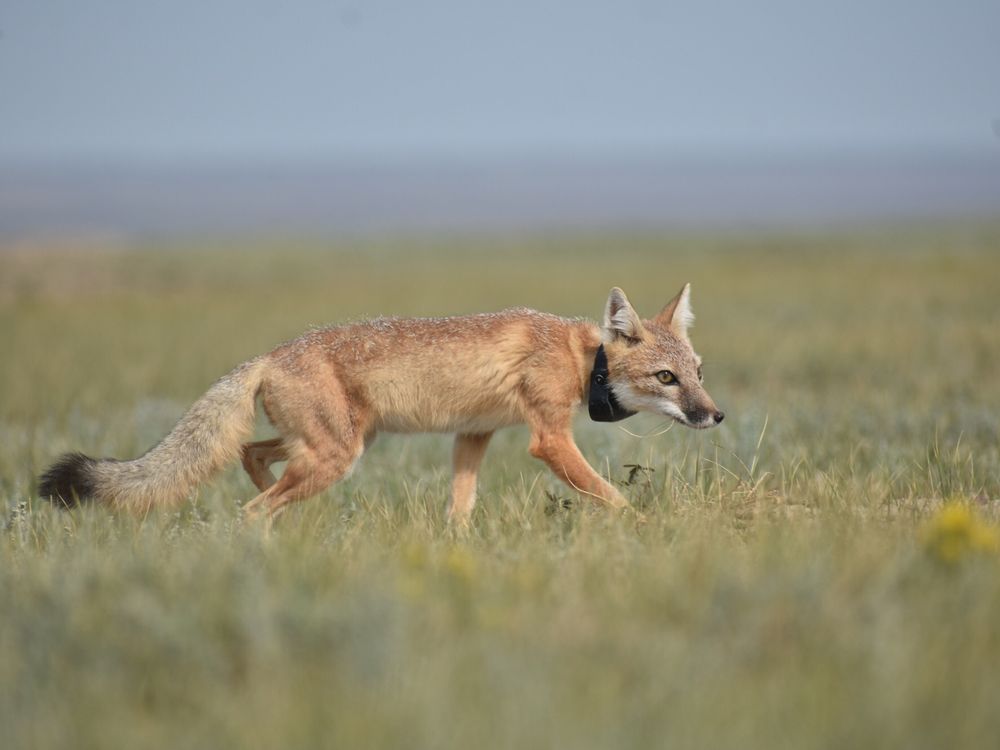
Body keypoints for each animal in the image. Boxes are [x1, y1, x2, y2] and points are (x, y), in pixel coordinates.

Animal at [38, 285, 723, 525]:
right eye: (666, 378)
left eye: (698, 373)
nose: (715, 415)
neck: (582, 357)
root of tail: (269, 353)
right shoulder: (549, 439)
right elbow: (611, 497)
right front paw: (649, 532)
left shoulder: (473, 436)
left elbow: (459, 508)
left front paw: (456, 549)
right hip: (337, 455)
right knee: (250, 506)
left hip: (332, 446)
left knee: (251, 458)